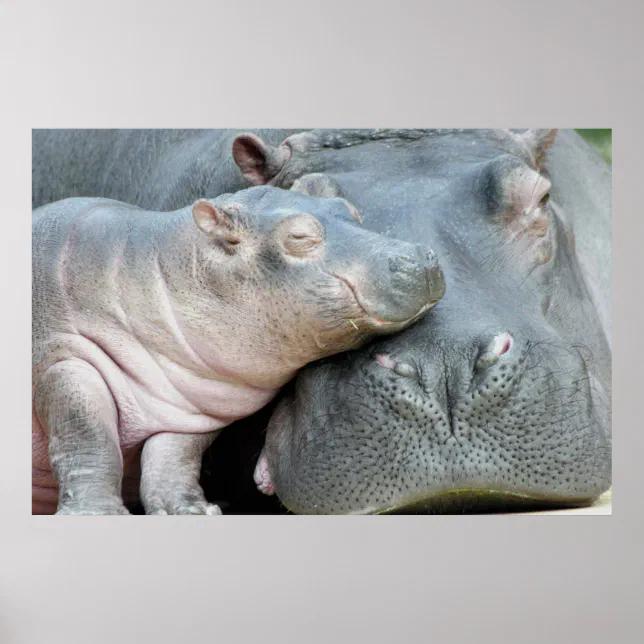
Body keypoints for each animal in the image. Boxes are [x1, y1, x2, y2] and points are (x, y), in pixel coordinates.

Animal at [32, 186, 445, 515]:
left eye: (350, 208)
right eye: (298, 236)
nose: (420, 257)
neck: (158, 265)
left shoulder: (192, 400)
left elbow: (174, 460)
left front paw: (194, 512)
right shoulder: (66, 360)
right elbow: (87, 440)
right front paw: (96, 514)